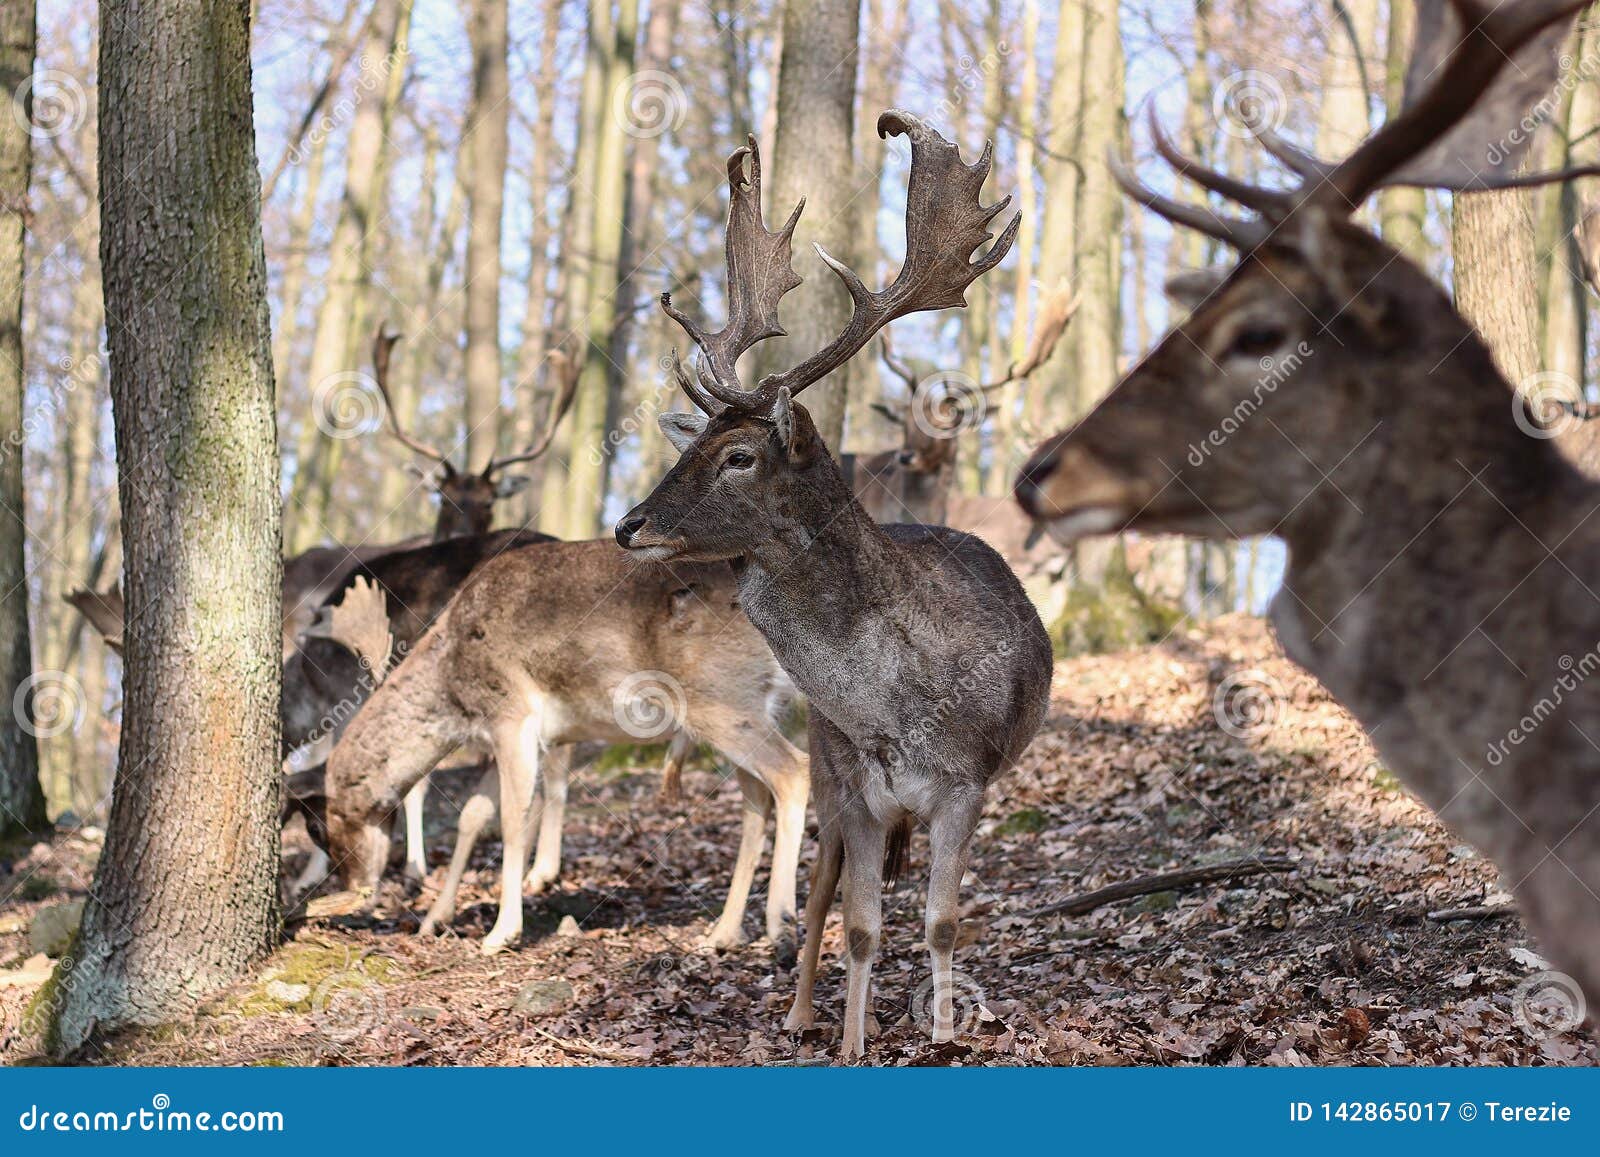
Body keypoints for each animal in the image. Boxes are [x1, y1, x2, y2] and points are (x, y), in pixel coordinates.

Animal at [321, 537, 811, 957]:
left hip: (720, 699)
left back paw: (781, 923)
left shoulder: (513, 714)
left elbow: (514, 818)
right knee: (757, 797)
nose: (355, 889)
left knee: (794, 771)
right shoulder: (517, 734)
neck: (453, 685)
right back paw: (722, 934)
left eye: (334, 819)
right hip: (750, 706)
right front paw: (434, 919)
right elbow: (472, 815)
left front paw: (501, 932)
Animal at [613, 111, 1053, 1058]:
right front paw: (850, 1039)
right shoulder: (854, 785)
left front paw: (944, 1032)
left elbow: (941, 918)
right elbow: (858, 921)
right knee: (820, 885)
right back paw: (799, 1006)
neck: (895, 710)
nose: (629, 524)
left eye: (739, 455)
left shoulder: (966, 783)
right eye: (692, 444)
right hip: (821, 759)